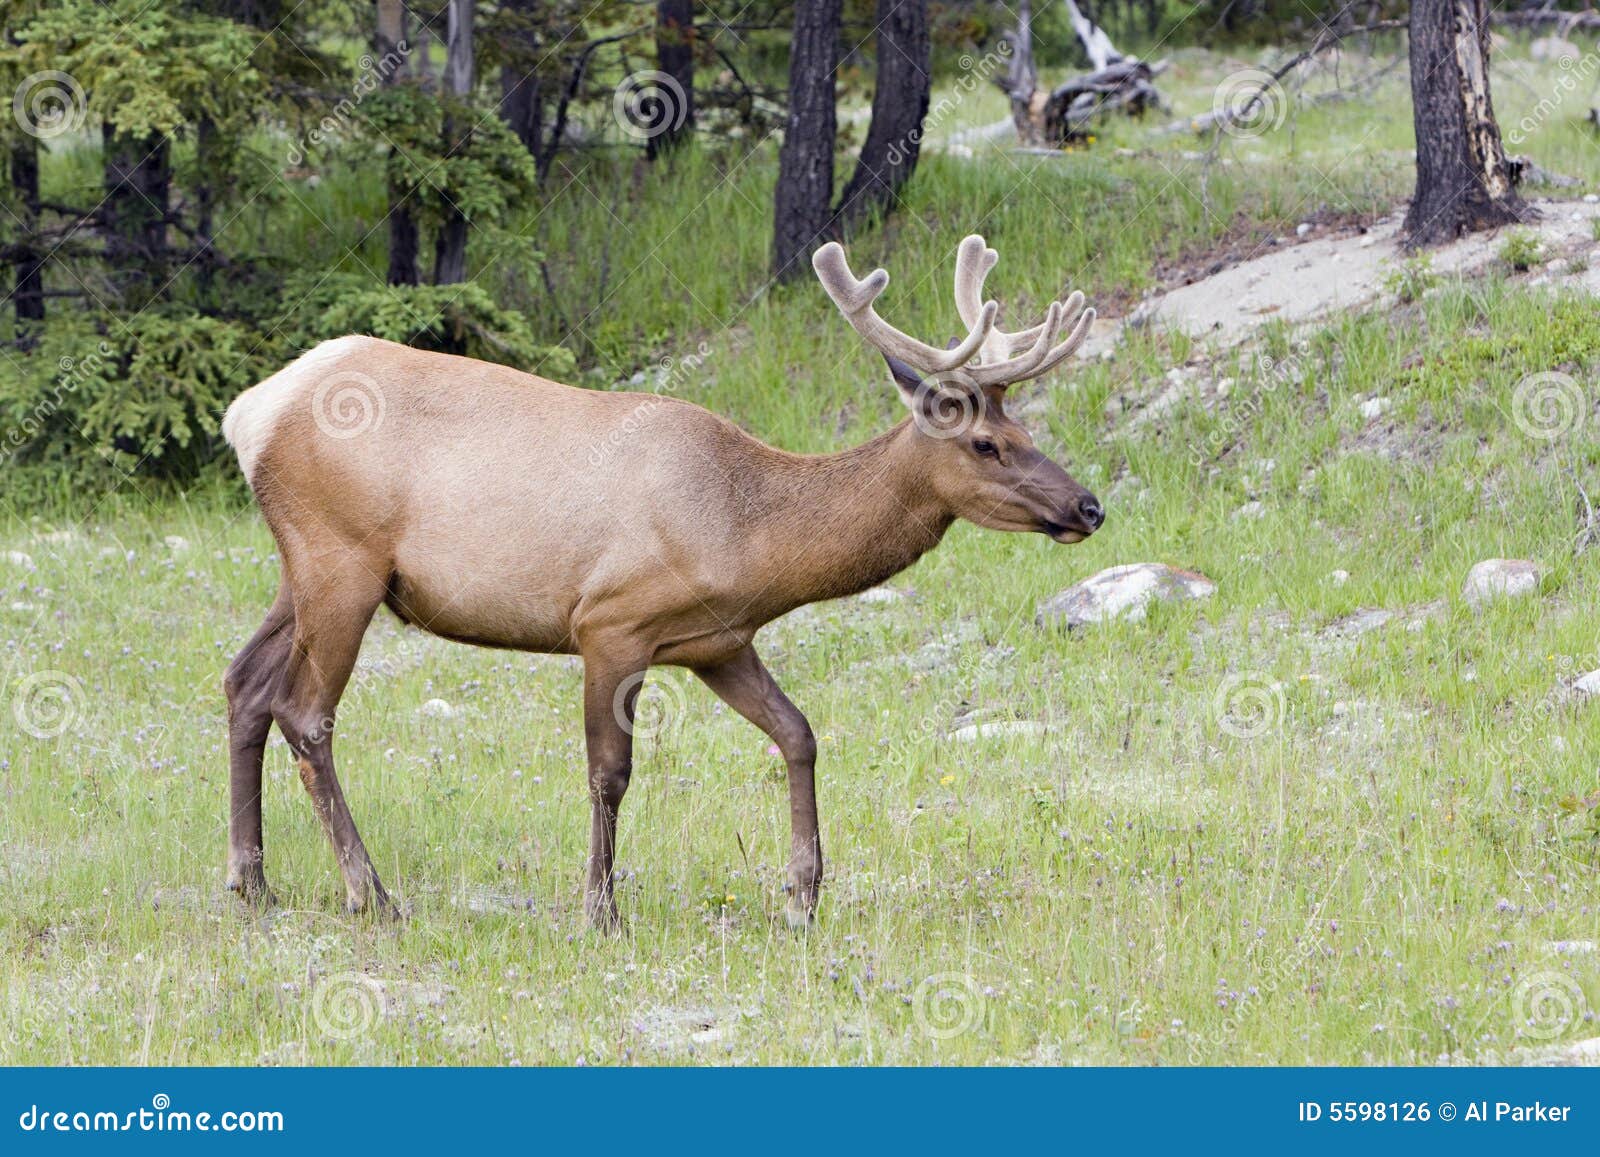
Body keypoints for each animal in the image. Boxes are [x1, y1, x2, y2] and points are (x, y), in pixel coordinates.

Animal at [219, 233, 1104, 931]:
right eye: (987, 442)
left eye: (1027, 428)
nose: (1088, 505)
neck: (750, 538)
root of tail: (249, 413)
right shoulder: (610, 622)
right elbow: (610, 772)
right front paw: (600, 908)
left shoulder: (718, 641)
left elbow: (799, 732)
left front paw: (802, 893)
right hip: (341, 557)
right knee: (305, 711)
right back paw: (369, 892)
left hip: (301, 569)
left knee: (244, 683)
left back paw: (252, 881)